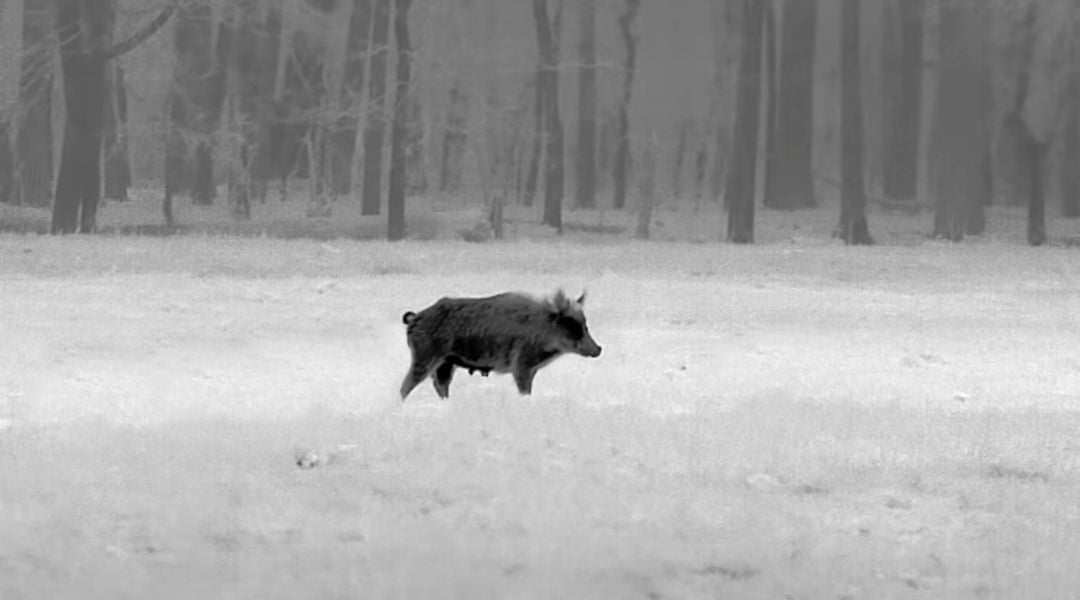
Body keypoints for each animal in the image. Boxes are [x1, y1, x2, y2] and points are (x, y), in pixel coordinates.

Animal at [399, 290, 602, 400]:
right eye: (571, 325)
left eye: (585, 325)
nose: (599, 349)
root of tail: (414, 318)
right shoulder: (521, 363)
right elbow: (524, 389)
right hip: (425, 355)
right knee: (405, 386)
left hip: (446, 363)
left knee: (440, 385)